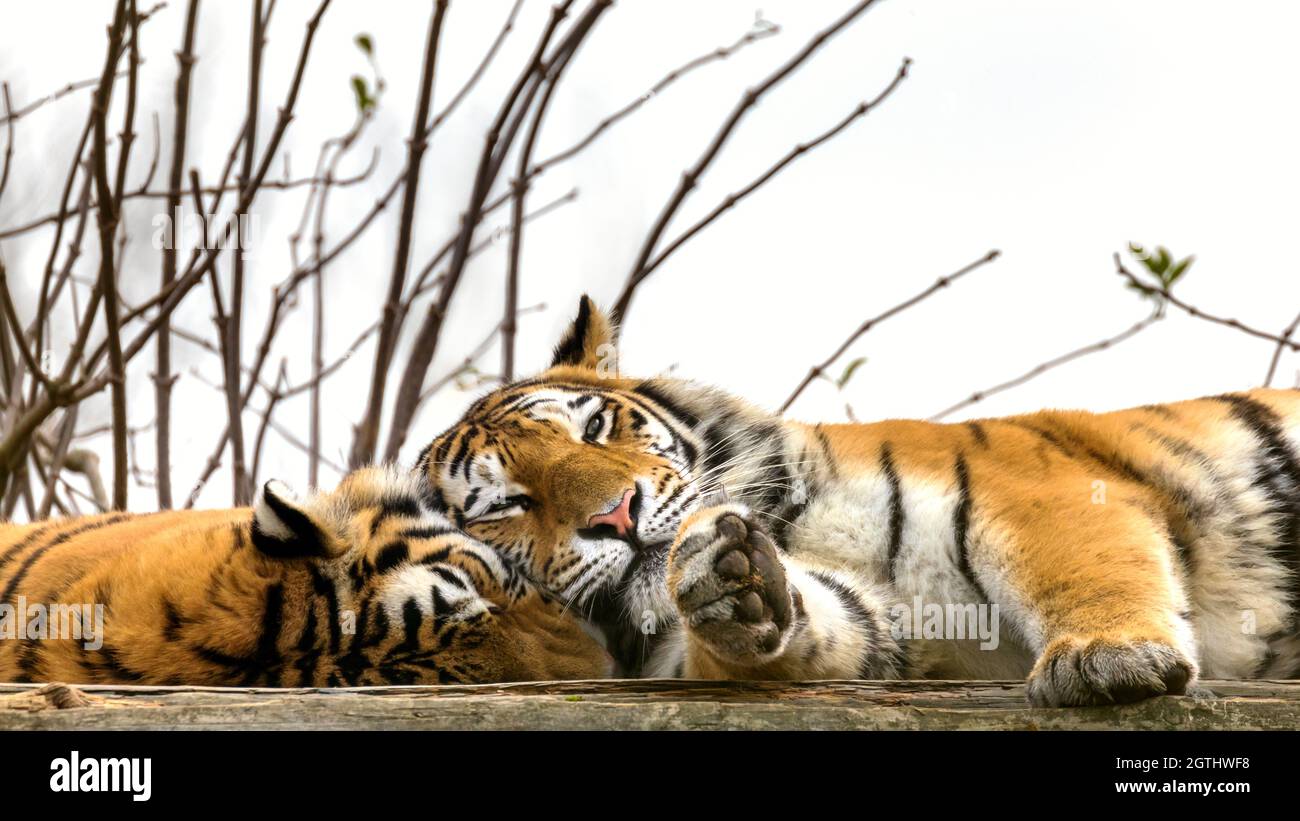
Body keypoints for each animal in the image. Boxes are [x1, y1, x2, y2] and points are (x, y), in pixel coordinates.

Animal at [417, 295, 1300, 706]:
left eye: (595, 426)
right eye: (502, 504)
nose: (617, 516)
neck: (796, 519)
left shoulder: (1037, 491)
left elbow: (1081, 570)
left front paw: (1107, 658)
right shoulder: (899, 636)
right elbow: (822, 622)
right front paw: (726, 586)